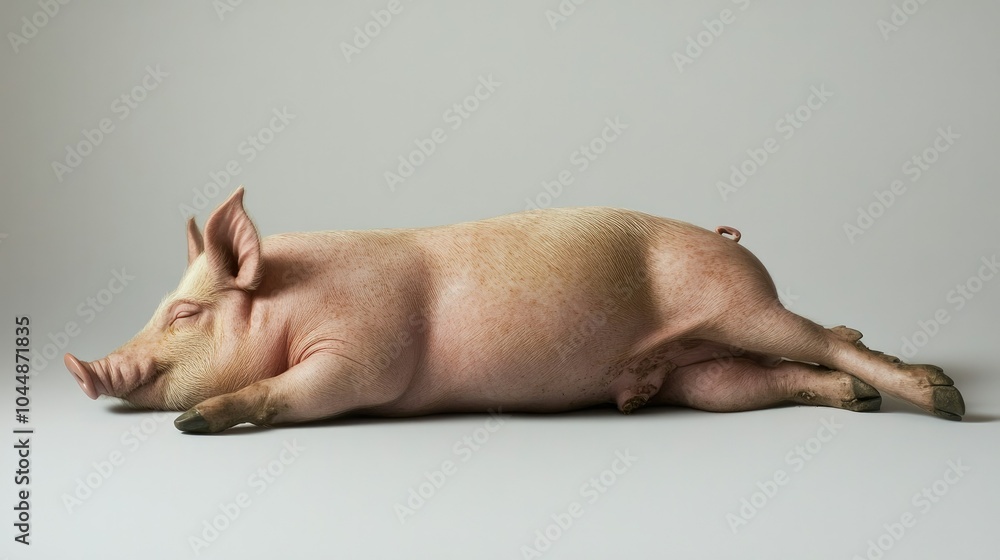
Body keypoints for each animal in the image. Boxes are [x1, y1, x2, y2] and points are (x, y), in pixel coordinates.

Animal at [64, 187, 965, 433]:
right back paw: (859, 400)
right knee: (773, 376)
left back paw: (941, 399)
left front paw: (195, 422)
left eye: (186, 316)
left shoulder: (360, 359)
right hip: (703, 376)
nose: (82, 367)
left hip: (741, 302)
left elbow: (294, 394)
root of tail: (727, 237)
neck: (292, 303)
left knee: (820, 339)